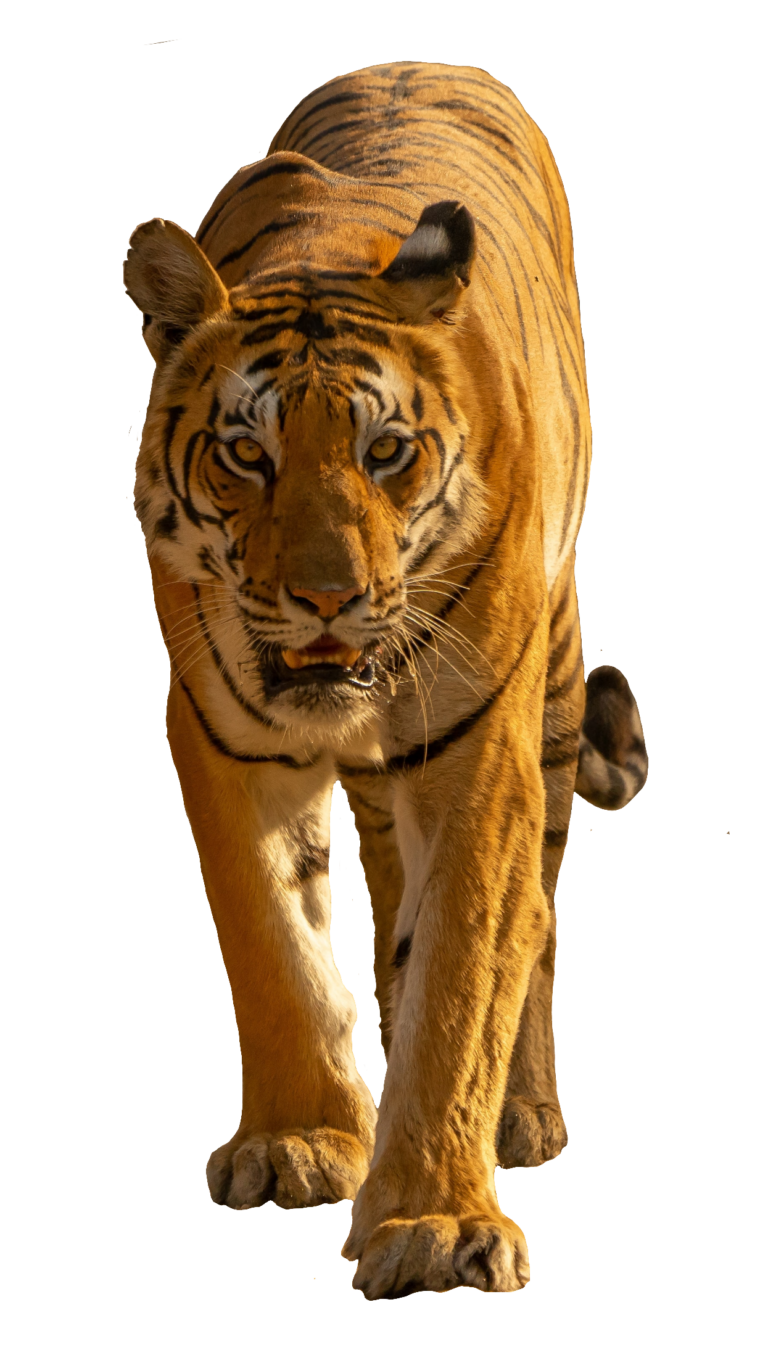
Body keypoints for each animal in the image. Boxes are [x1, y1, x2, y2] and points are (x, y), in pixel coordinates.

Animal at [123, 60, 648, 1298]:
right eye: (246, 453)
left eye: (385, 452)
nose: (326, 597)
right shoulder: (220, 735)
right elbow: (272, 940)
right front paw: (300, 1142)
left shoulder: (483, 754)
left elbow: (466, 966)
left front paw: (435, 1223)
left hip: (557, 692)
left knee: (538, 916)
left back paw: (523, 1118)